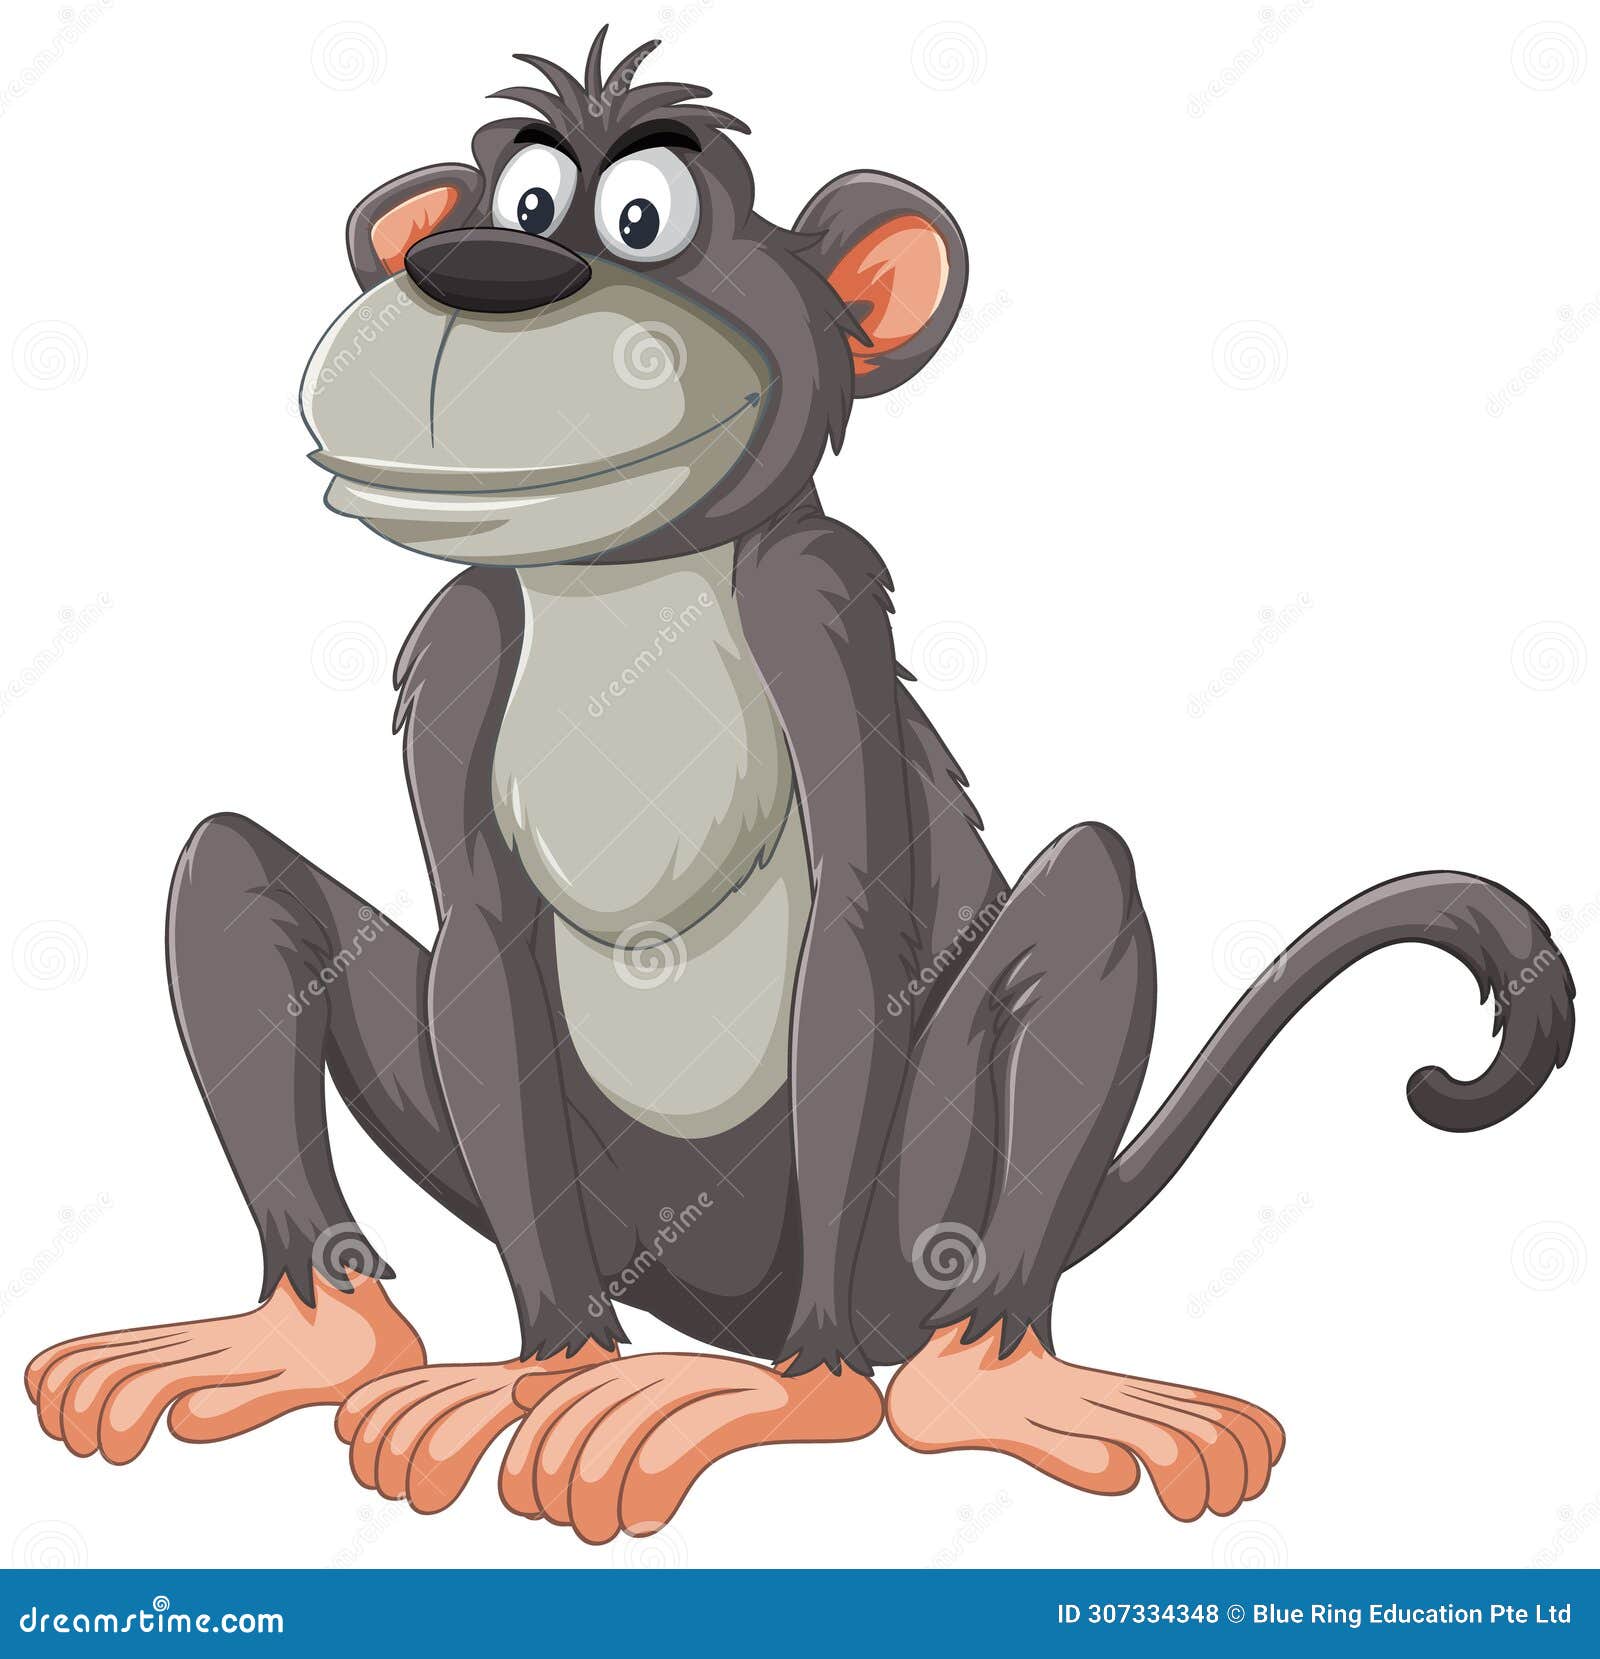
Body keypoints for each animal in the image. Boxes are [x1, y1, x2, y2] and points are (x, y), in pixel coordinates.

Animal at [25, 29, 1575, 1545]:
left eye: (645, 220)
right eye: (522, 202)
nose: (479, 274)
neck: (619, 582)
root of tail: (711, 1302)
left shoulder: (819, 610)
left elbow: (852, 940)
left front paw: (799, 1395)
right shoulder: (463, 644)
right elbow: (474, 948)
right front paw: (541, 1370)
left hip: (918, 1223)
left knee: (1083, 892)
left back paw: (969, 1369)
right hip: (616, 1209)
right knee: (227, 870)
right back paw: (320, 1330)